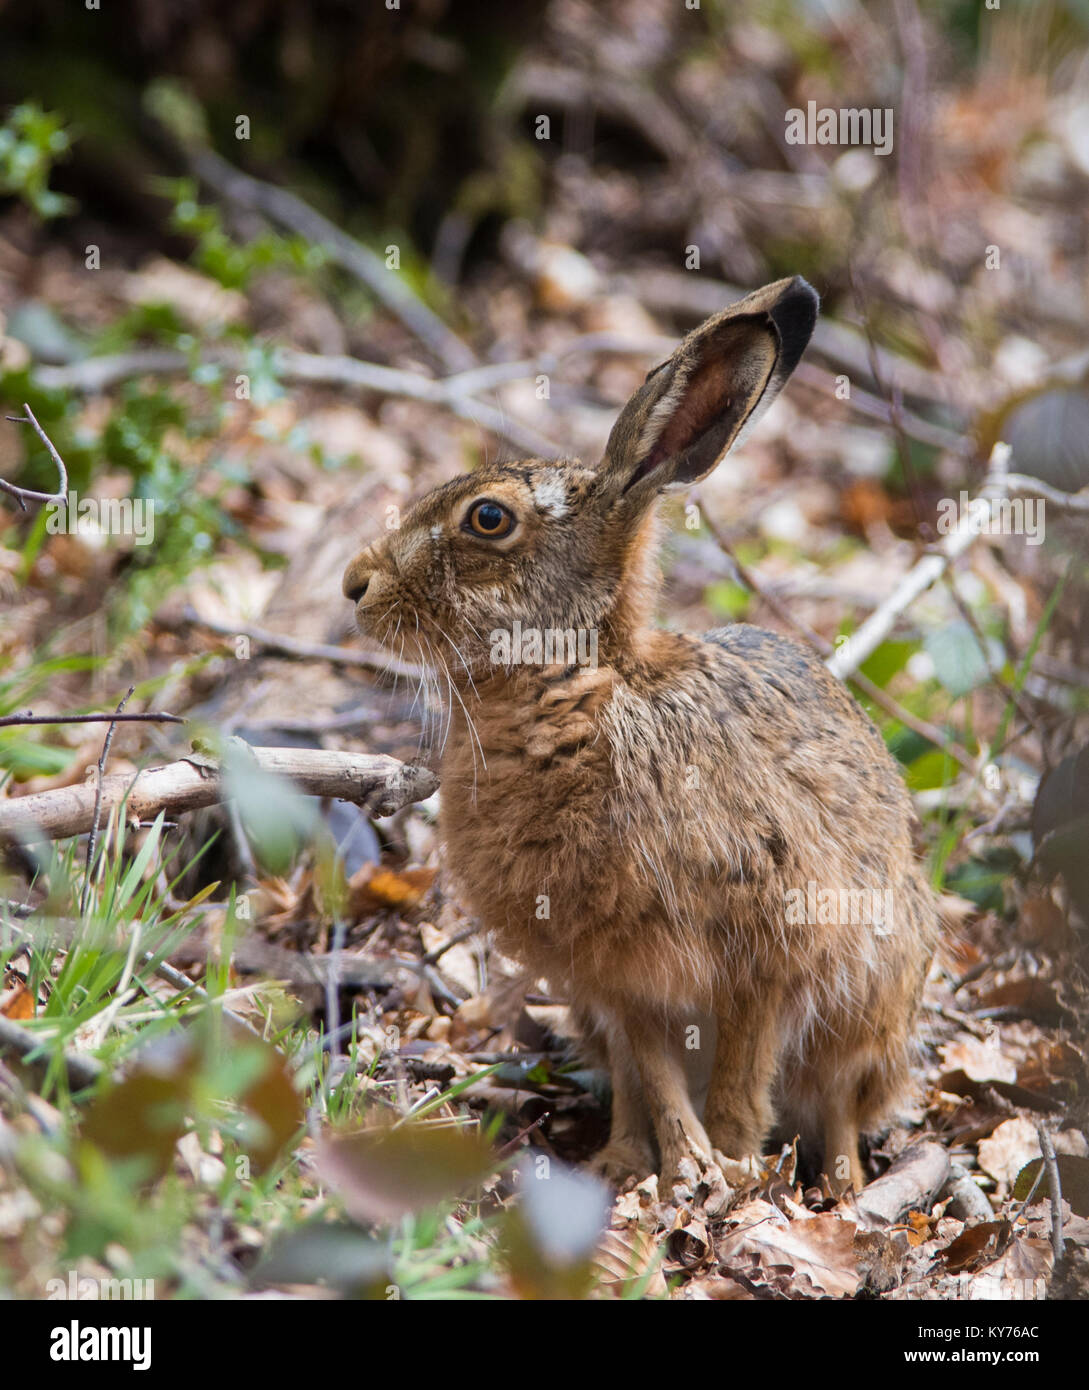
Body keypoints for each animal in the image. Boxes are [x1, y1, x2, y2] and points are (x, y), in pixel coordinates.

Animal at [343, 277, 939, 1191]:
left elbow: (739, 1074)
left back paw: (836, 1184)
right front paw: (678, 1168)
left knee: (838, 1101)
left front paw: (725, 1165)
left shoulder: (767, 948)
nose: (355, 585)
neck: (582, 687)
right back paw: (622, 1160)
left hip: (869, 998)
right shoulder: (609, 973)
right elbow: (652, 1069)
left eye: (488, 520)